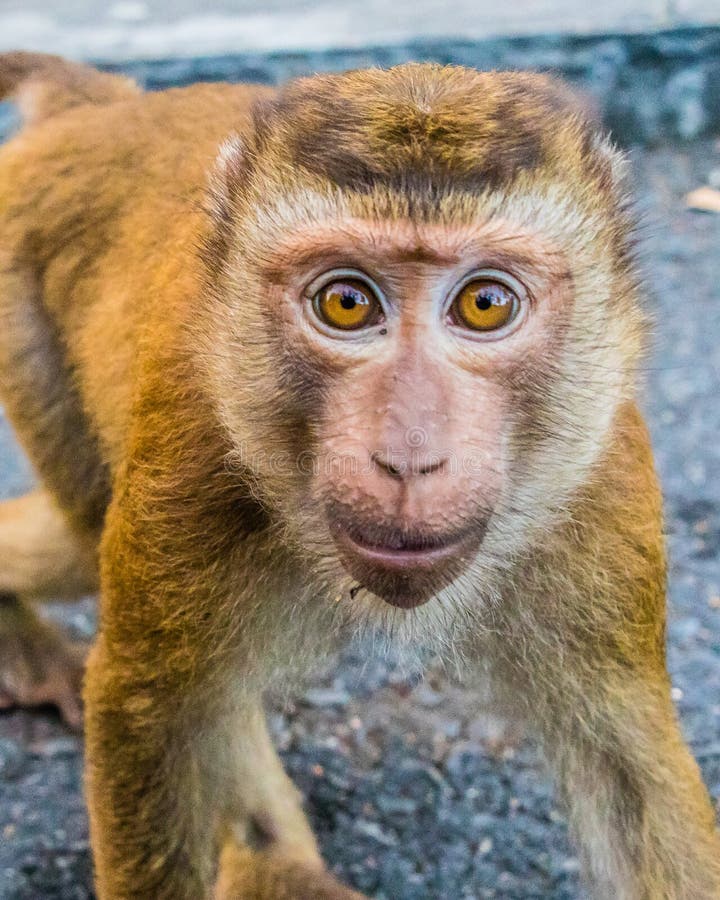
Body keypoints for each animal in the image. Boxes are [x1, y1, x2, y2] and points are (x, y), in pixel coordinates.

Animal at [0, 50, 718, 900]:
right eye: (346, 303)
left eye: (485, 304)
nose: (408, 456)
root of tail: (104, 109)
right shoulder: (191, 448)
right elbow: (152, 708)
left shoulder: (603, 484)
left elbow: (630, 768)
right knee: (89, 540)